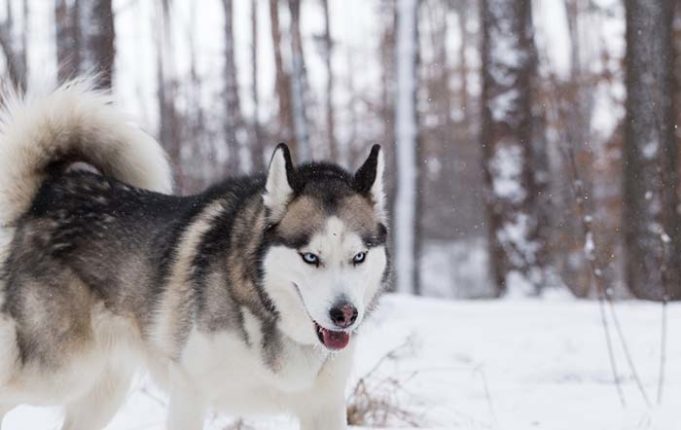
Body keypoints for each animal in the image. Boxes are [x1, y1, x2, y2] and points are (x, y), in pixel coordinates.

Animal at [0, 79, 389, 429]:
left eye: (359, 257)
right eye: (310, 257)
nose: (345, 315)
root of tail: (50, 193)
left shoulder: (324, 408)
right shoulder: (190, 392)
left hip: (104, 386)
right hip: (60, 372)